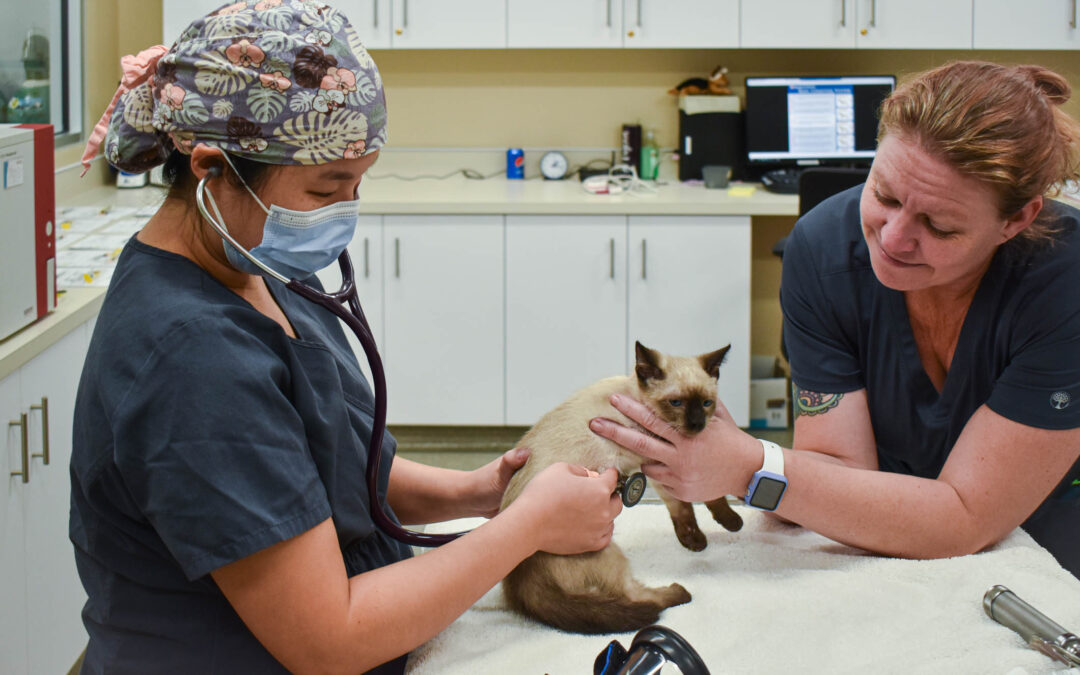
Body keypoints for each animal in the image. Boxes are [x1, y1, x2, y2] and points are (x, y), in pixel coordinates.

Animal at [498, 341, 743, 630]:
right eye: (676, 403)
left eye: (706, 403)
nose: (697, 424)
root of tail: (520, 585)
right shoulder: (661, 460)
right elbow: (709, 496)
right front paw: (730, 524)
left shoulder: (659, 467)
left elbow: (683, 507)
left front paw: (695, 540)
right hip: (606, 549)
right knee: (635, 596)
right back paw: (680, 593)